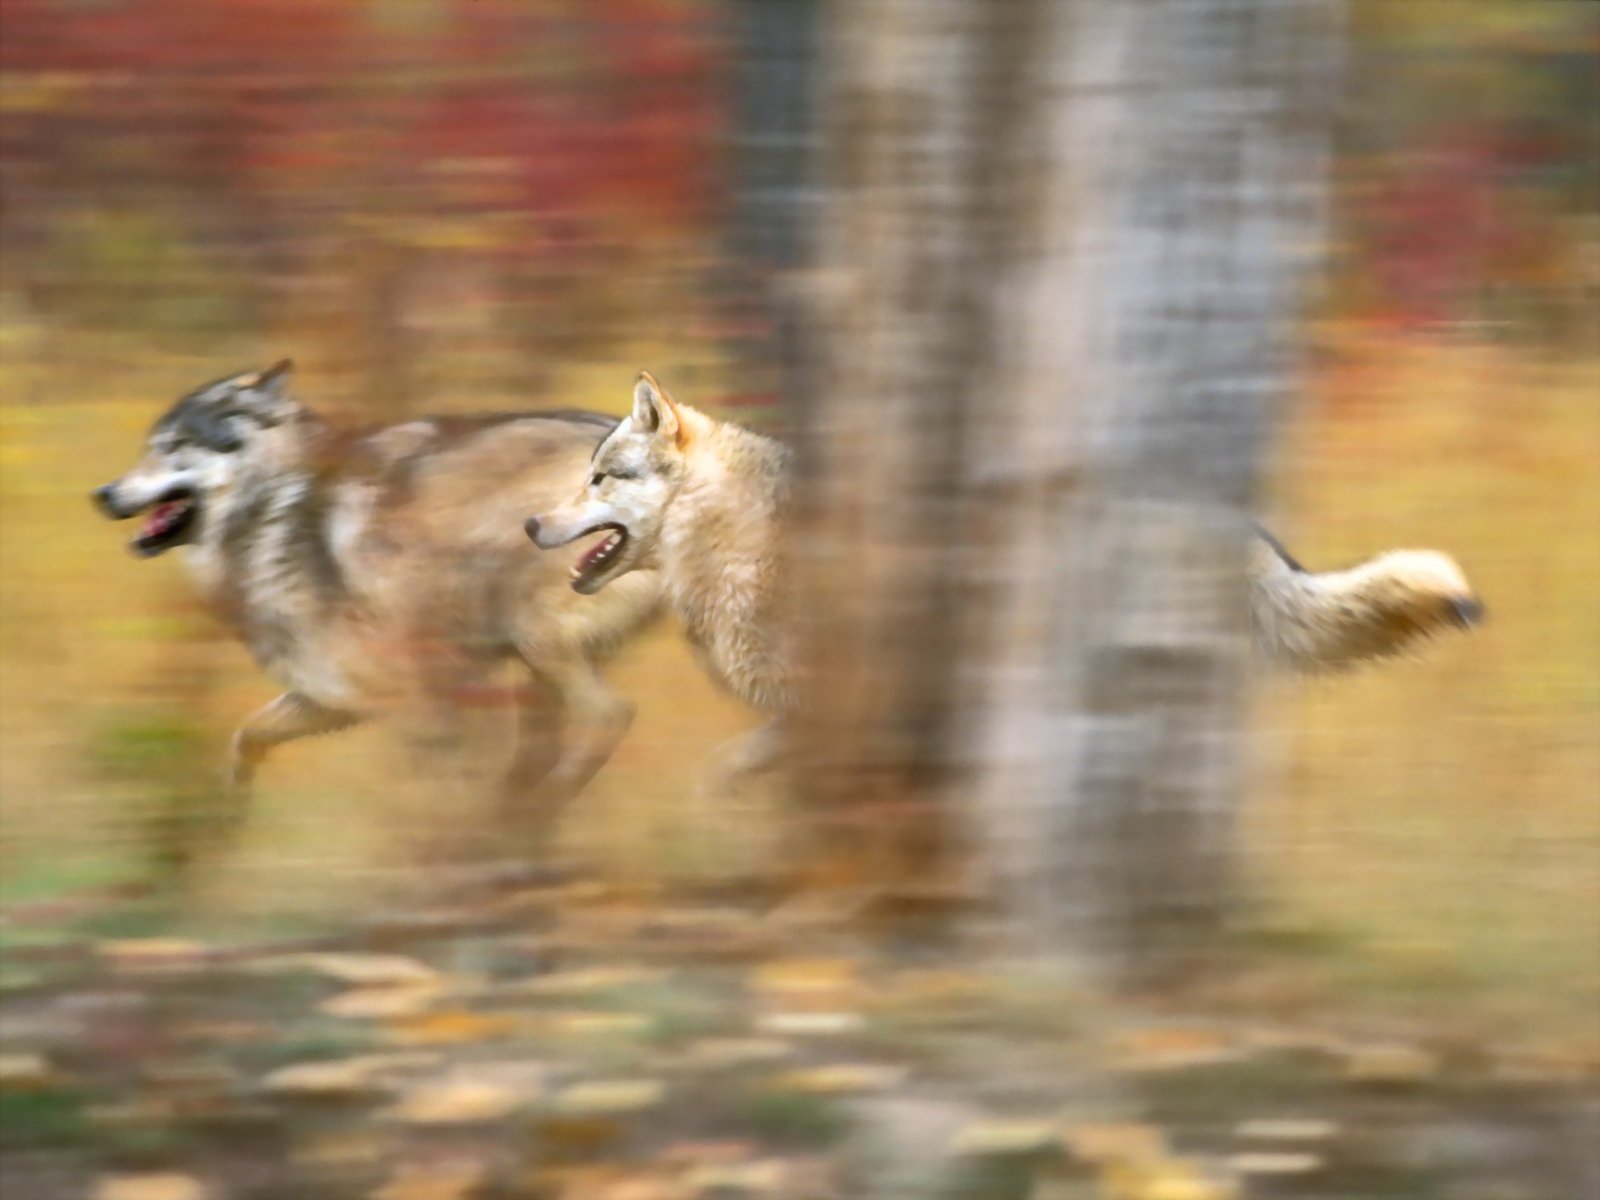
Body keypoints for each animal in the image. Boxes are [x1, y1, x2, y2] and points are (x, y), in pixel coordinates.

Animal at [93, 360, 661, 852]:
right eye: (151, 446)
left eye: (174, 447)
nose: (103, 494)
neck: (269, 511)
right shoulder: (330, 696)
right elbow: (245, 738)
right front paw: (229, 822)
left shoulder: (418, 701)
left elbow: (441, 795)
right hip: (535, 667)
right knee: (549, 743)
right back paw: (523, 815)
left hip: (537, 641)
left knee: (611, 715)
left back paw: (537, 807)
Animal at [525, 372, 1483, 790]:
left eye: (600, 478)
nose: (532, 525)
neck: (732, 530)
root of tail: (1229, 518)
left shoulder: (817, 713)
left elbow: (732, 780)